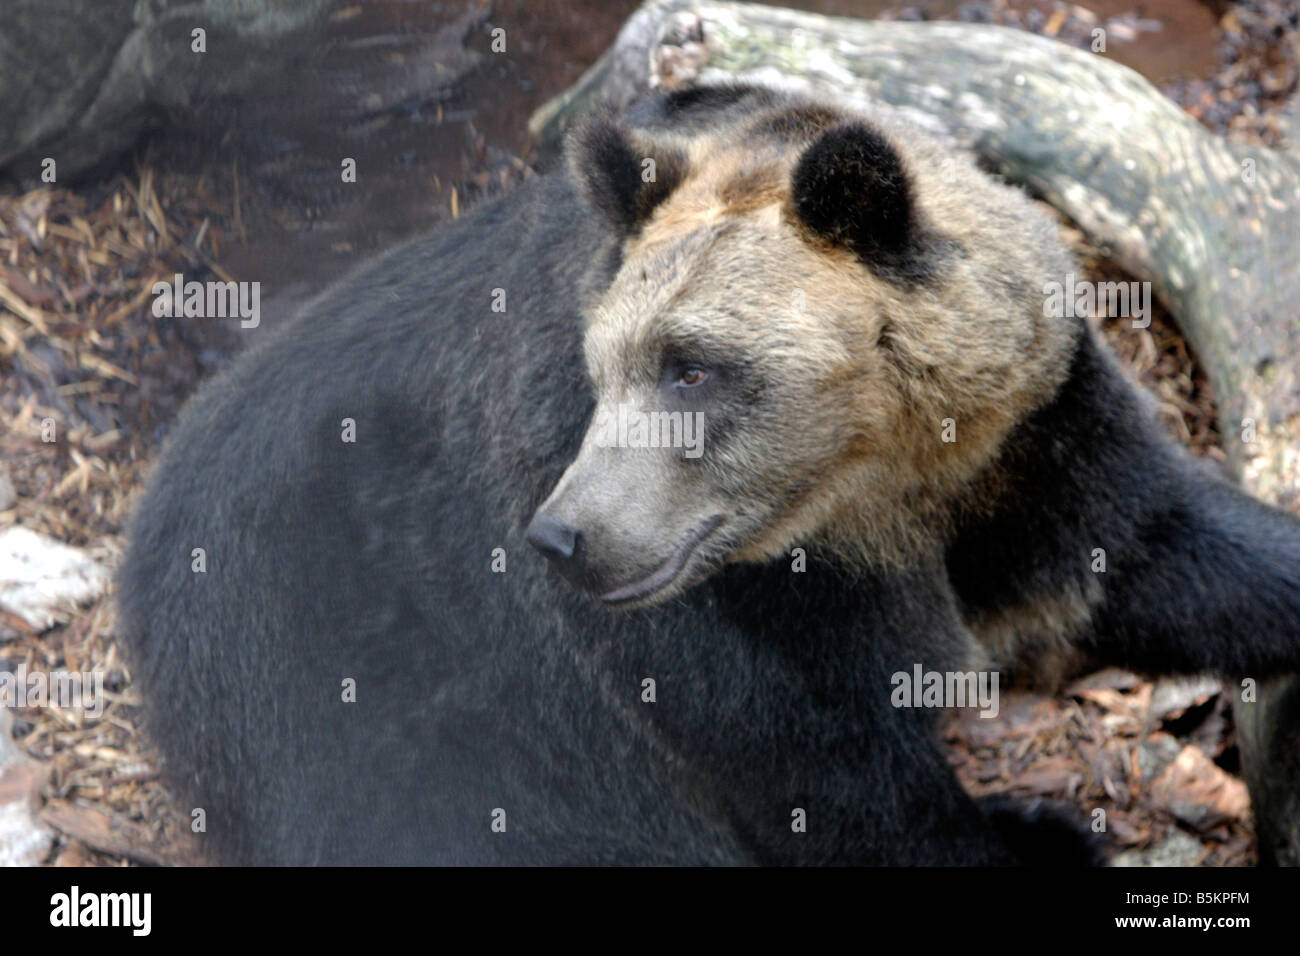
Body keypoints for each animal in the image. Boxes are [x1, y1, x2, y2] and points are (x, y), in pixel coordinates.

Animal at [116, 86, 1103, 866]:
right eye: (607, 372)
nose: (563, 537)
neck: (876, 487)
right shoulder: (717, 621)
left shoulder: (1029, 434)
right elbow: (829, 772)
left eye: (692, 369)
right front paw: (1026, 837)